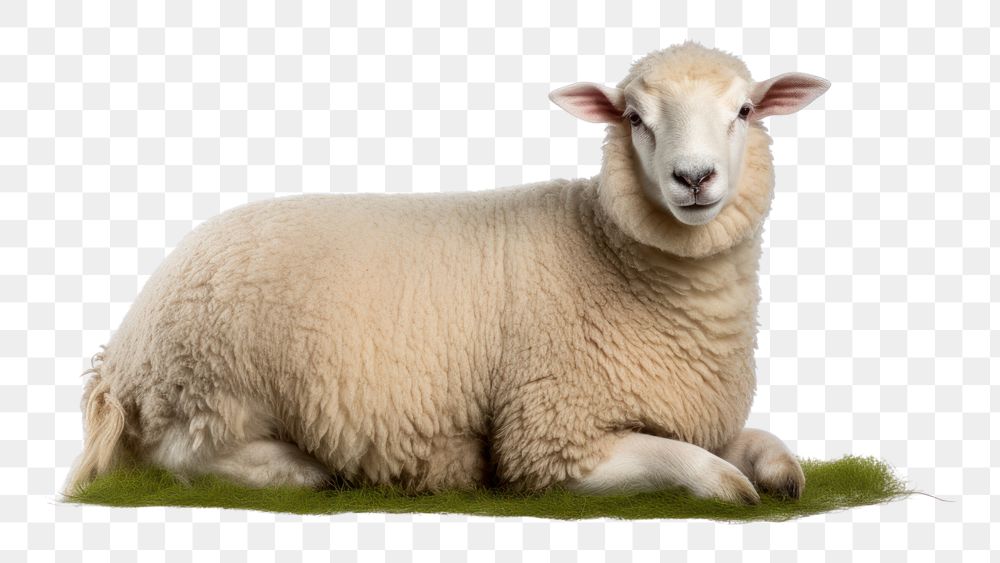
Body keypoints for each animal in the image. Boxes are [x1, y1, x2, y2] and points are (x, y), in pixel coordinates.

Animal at [66, 42, 830, 504]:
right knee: (179, 459)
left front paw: (782, 473)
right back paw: (303, 470)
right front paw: (737, 487)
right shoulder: (549, 440)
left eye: (744, 110)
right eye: (634, 118)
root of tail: (122, 353)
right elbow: (694, 468)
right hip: (214, 386)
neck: (610, 254)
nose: (693, 178)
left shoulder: (685, 413)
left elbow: (761, 447)